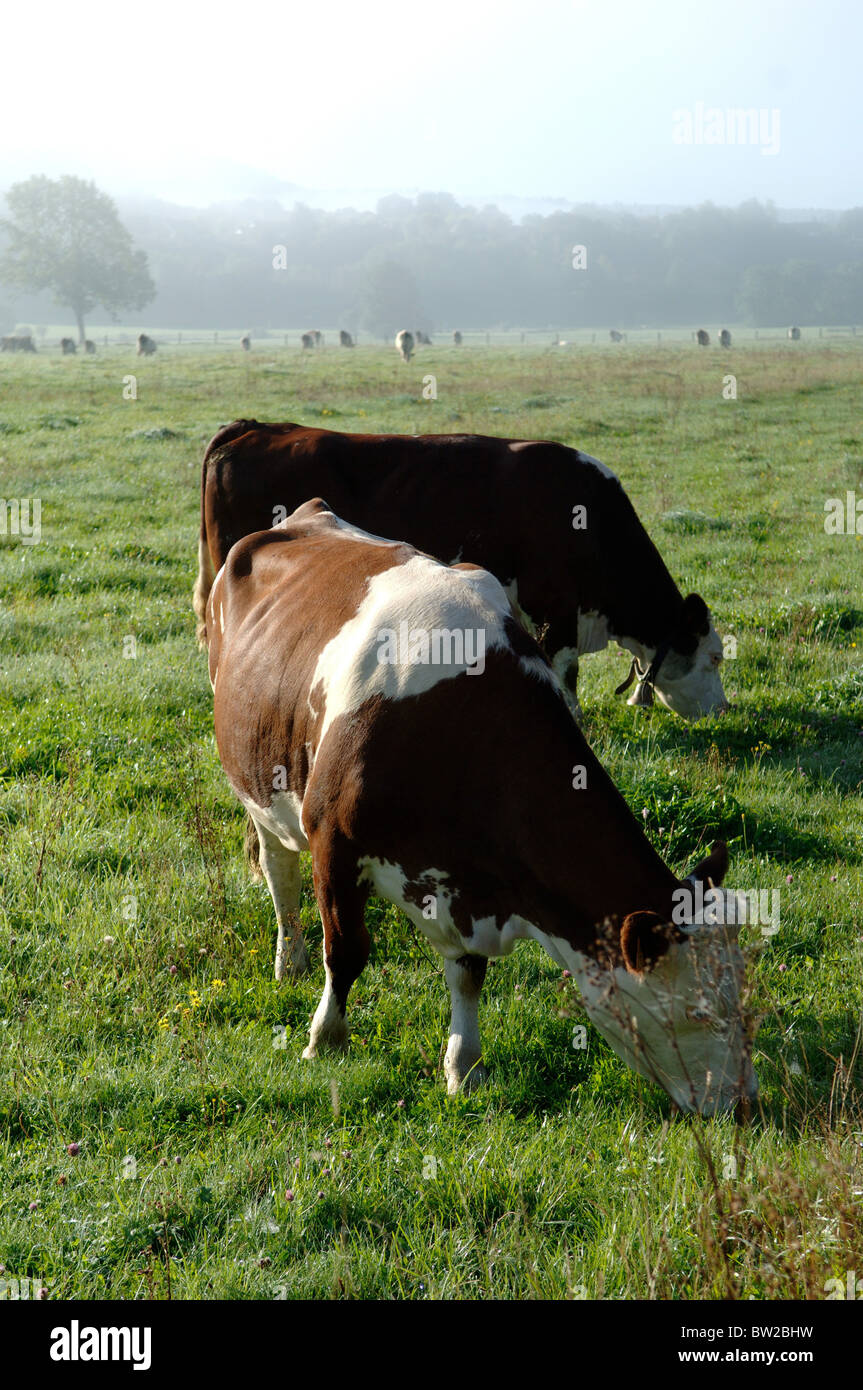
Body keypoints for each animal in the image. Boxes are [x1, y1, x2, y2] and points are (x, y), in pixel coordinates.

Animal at [206, 499, 757, 1116]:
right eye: (697, 1013)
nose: (744, 1103)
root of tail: (305, 513)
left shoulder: (469, 885)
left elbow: (468, 975)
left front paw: (463, 1067)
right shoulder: (334, 844)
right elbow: (346, 952)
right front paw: (325, 1039)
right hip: (259, 782)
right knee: (279, 869)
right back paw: (291, 958)